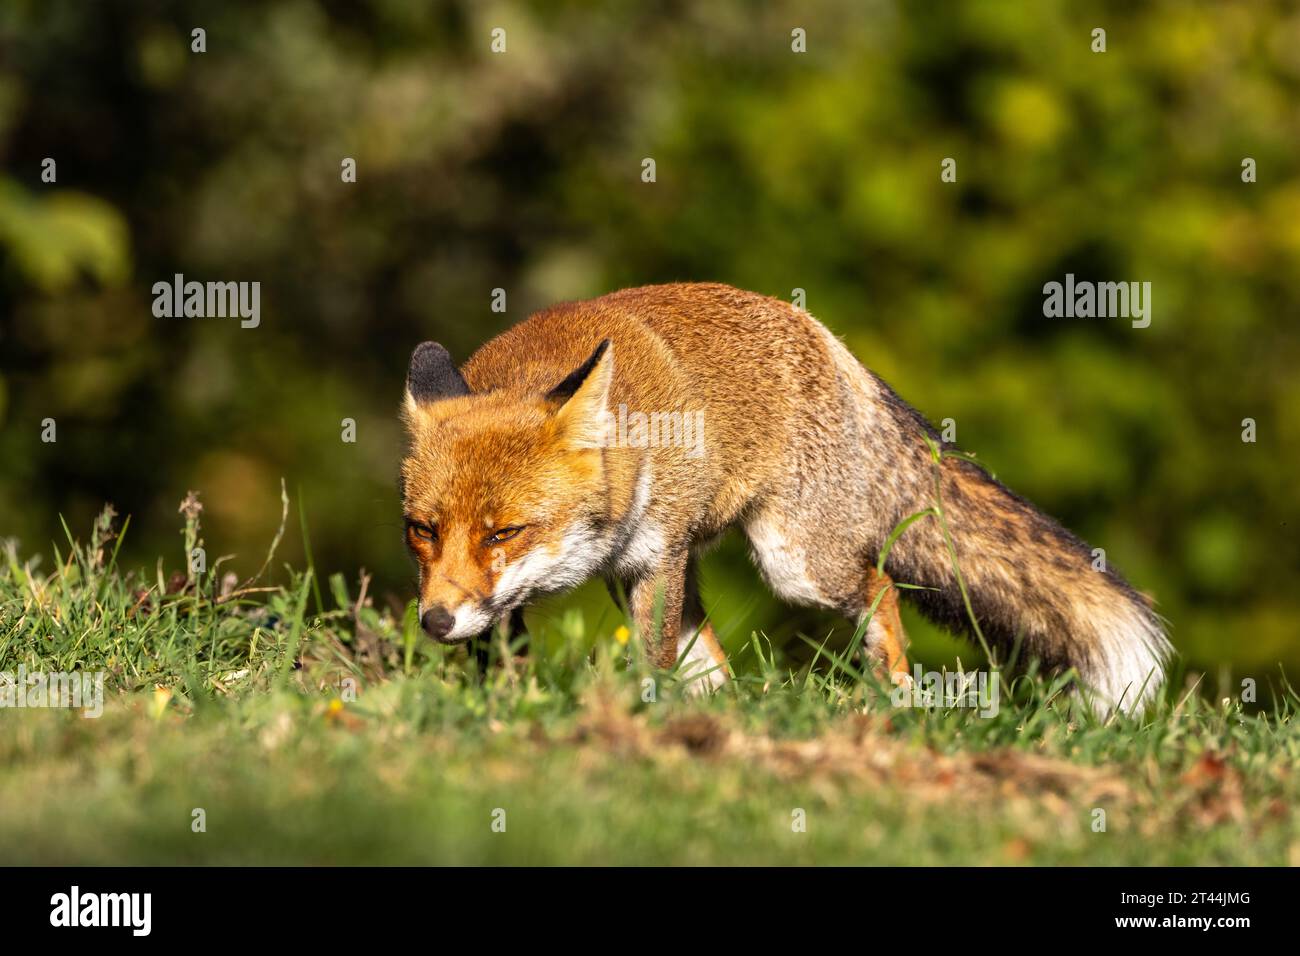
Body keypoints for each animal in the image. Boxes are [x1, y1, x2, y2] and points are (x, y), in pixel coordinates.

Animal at [400, 283, 1171, 713]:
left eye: (503, 533)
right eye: (422, 530)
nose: (434, 621)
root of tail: (828, 340)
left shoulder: (653, 561)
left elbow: (650, 660)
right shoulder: (576, 584)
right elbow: (506, 657)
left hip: (795, 564)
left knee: (881, 587)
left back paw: (894, 699)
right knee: (714, 663)